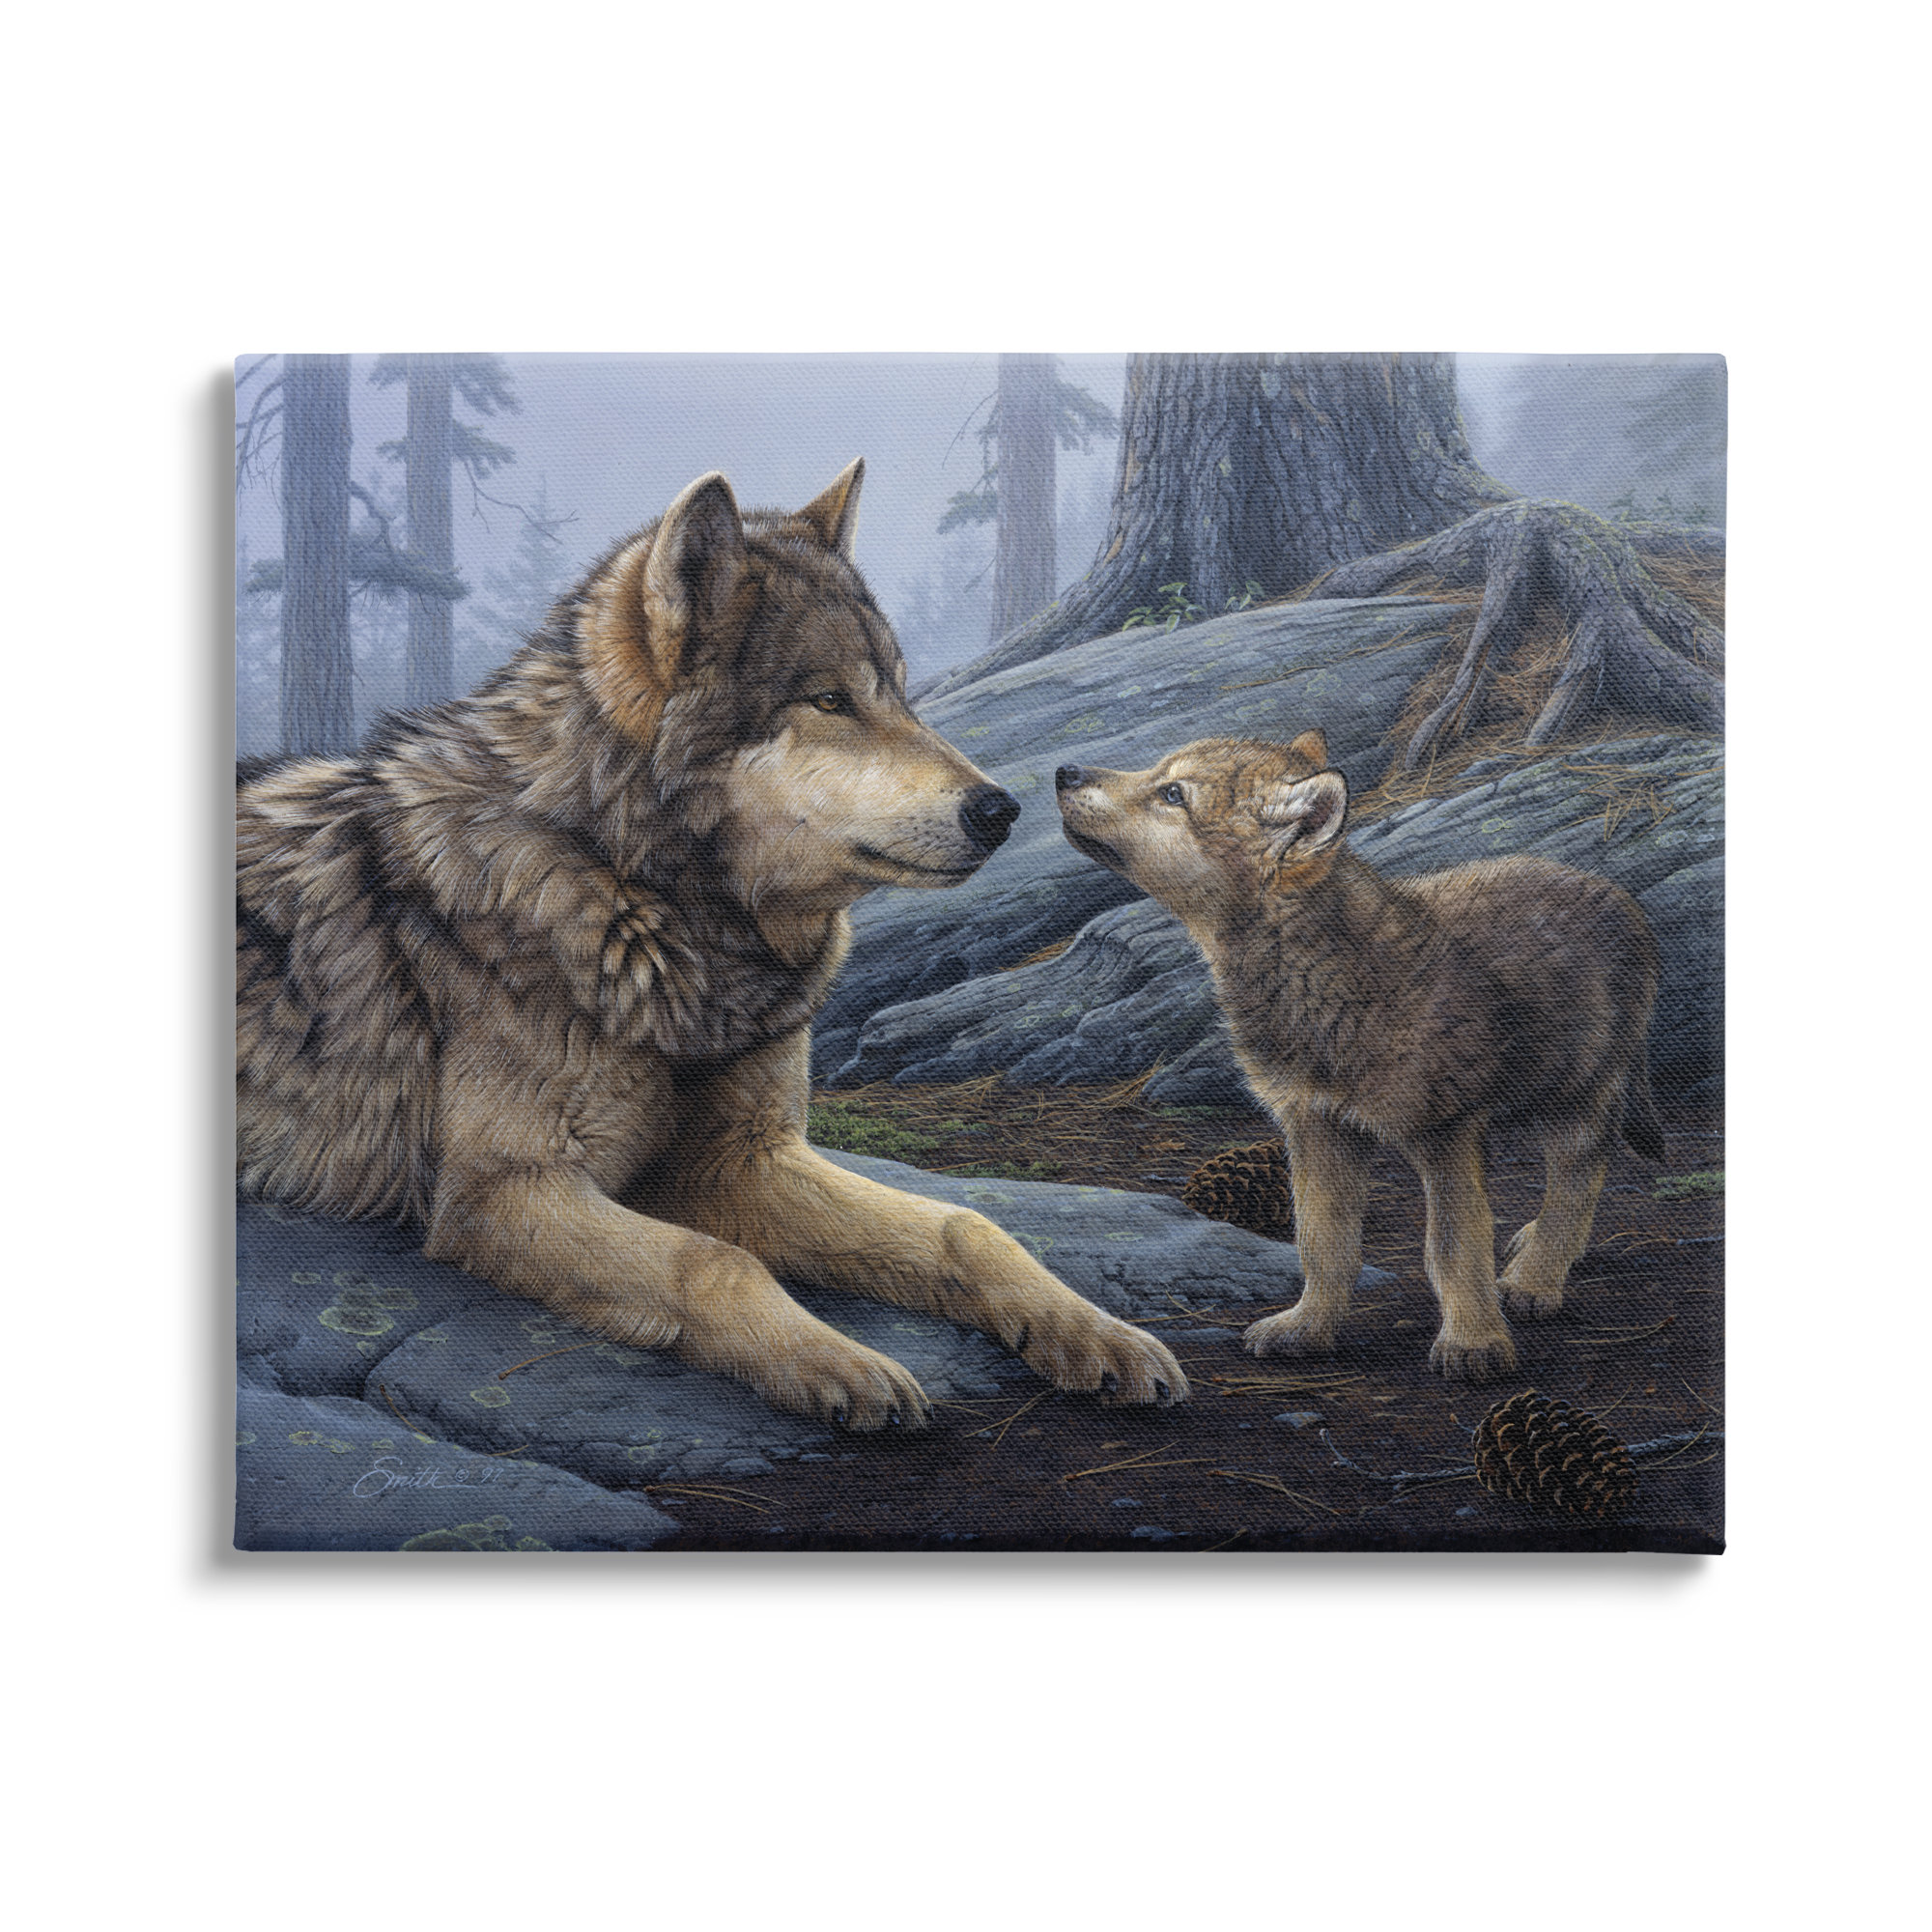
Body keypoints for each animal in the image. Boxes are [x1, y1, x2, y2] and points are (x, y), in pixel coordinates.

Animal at [237, 463, 1186, 1426]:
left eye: (900, 694)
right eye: (830, 700)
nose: (1002, 809)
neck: (645, 905)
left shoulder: (744, 1161)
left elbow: (968, 1226)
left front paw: (1095, 1332)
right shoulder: (501, 1191)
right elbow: (715, 1260)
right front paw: (839, 1364)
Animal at [1055, 731, 1663, 1381]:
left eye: (1173, 794)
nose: (1064, 772)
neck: (1324, 977)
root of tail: (1617, 893)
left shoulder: (1444, 1135)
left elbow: (1453, 1249)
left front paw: (1473, 1343)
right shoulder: (1313, 1124)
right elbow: (1324, 1243)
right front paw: (1307, 1328)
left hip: (1578, 1094)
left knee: (1579, 1179)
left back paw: (1534, 1280)